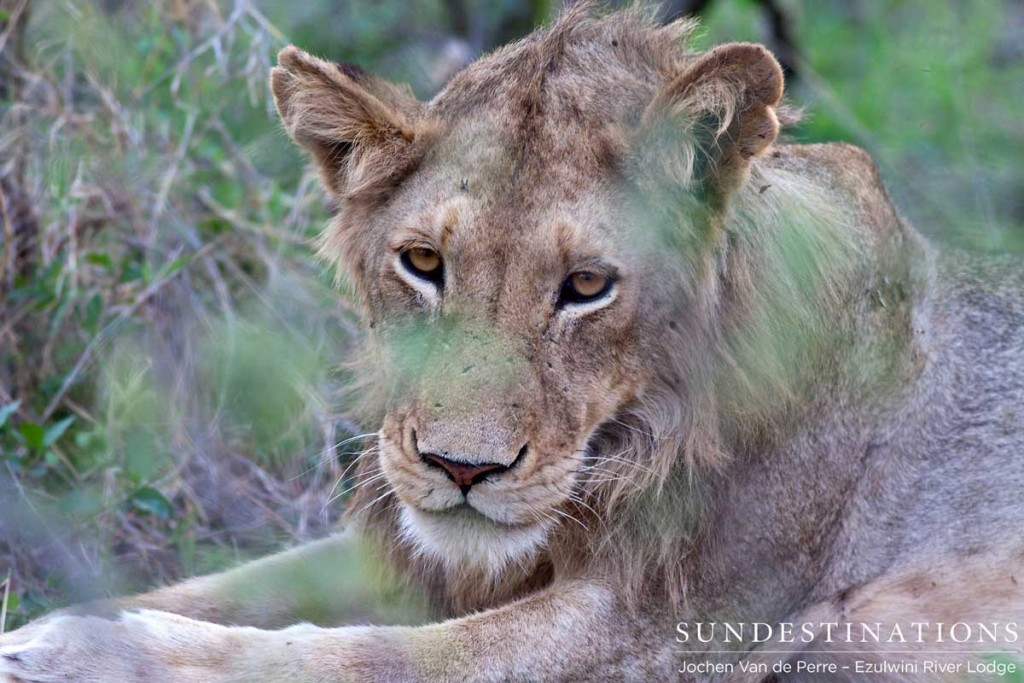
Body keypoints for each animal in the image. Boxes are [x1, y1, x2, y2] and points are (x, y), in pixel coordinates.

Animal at [3, 5, 1023, 682]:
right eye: (422, 262)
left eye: (586, 287)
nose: (462, 469)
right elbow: (227, 585)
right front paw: (52, 631)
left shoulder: (682, 626)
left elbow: (367, 655)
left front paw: (80, 655)